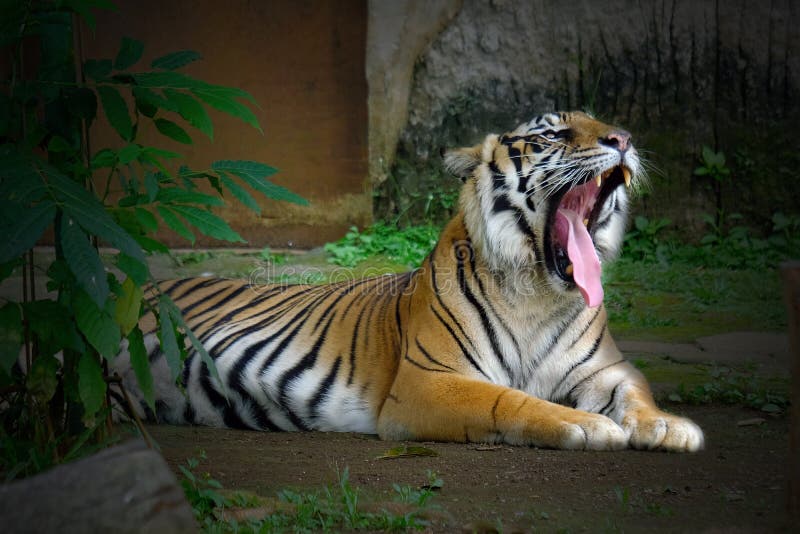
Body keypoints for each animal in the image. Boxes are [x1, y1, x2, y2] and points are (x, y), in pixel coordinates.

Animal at [116, 111, 704, 452]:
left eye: (606, 122)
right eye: (555, 133)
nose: (623, 139)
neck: (537, 292)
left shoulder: (606, 369)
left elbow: (636, 391)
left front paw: (668, 426)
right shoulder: (429, 379)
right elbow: (512, 400)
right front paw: (587, 426)